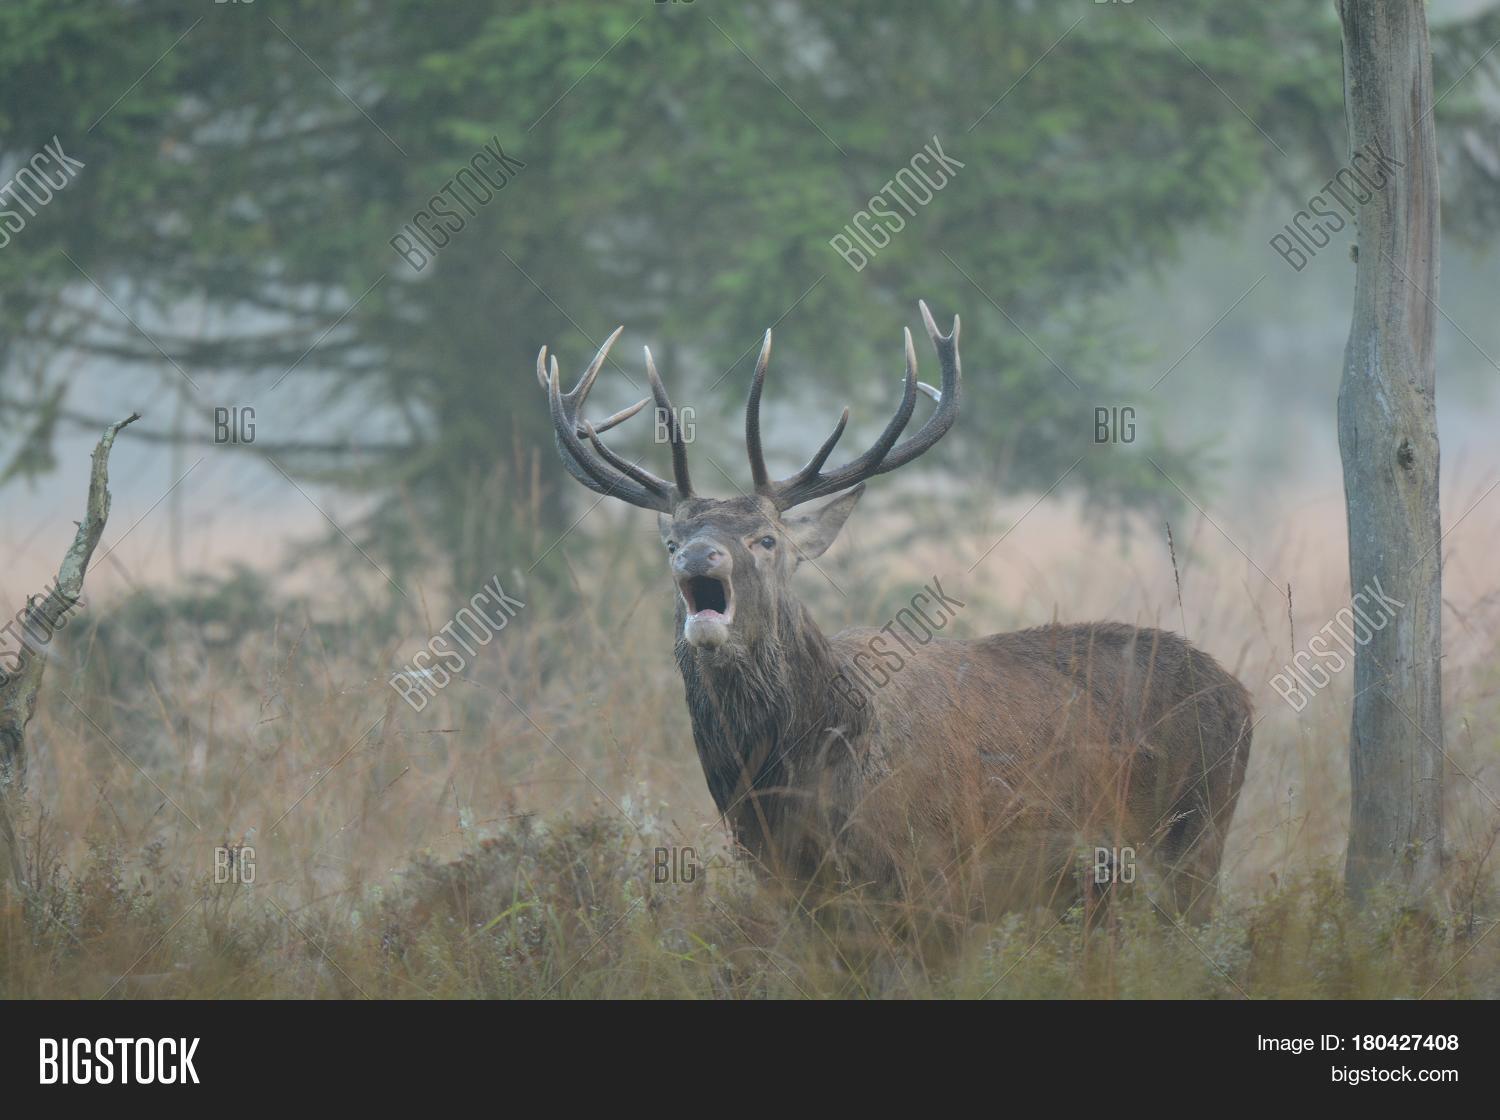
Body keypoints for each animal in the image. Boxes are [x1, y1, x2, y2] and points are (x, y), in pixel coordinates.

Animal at [537, 302, 1252, 930]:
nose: (697, 554)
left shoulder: (927, 872)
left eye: (766, 539)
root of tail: (1242, 697)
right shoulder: (794, 888)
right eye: (670, 541)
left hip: (1195, 834)